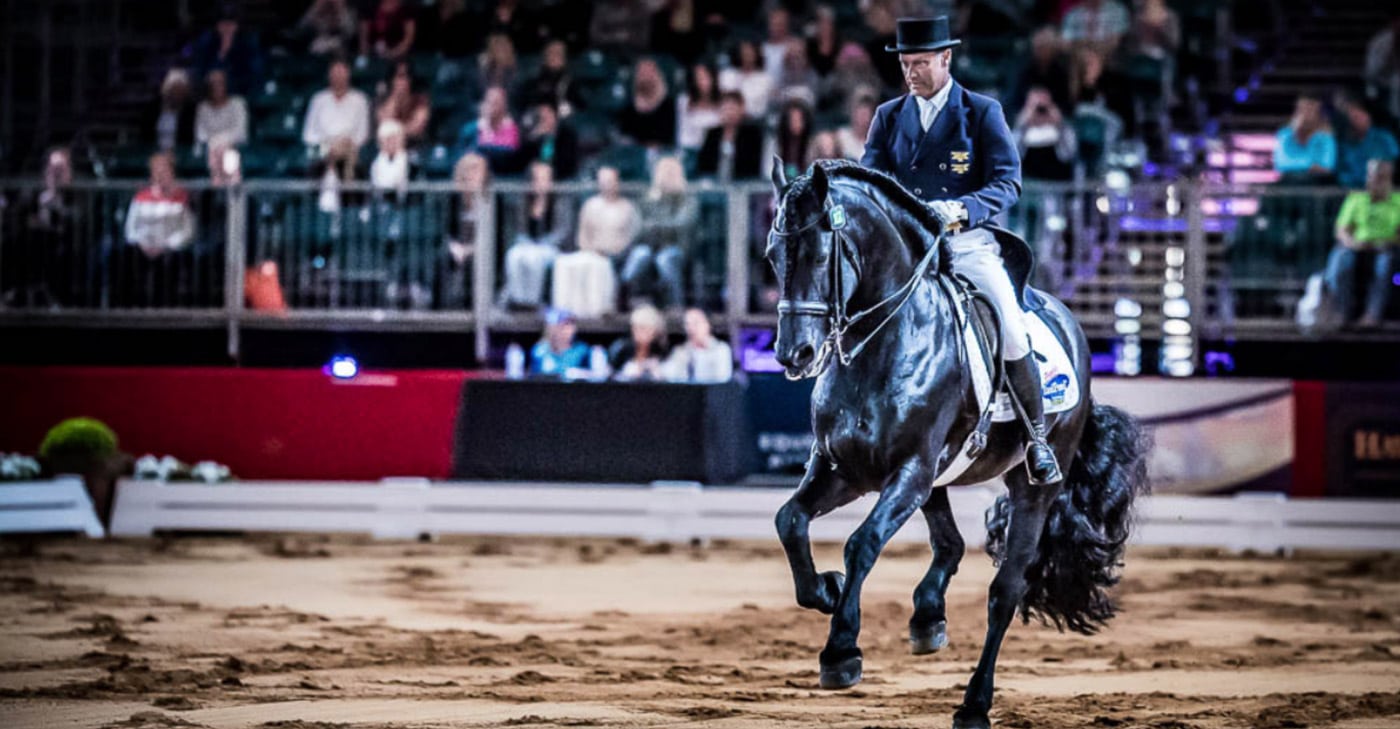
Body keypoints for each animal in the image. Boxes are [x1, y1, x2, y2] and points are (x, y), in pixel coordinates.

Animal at [767, 159, 1150, 729]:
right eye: (772, 256)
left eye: (817, 254)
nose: (795, 355)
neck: (884, 343)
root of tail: (1065, 320)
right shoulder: (843, 468)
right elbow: (790, 520)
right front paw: (828, 589)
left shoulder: (910, 470)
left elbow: (862, 543)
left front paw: (841, 650)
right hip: (937, 481)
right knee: (948, 544)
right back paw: (928, 617)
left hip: (1030, 485)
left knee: (1005, 591)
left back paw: (974, 703)